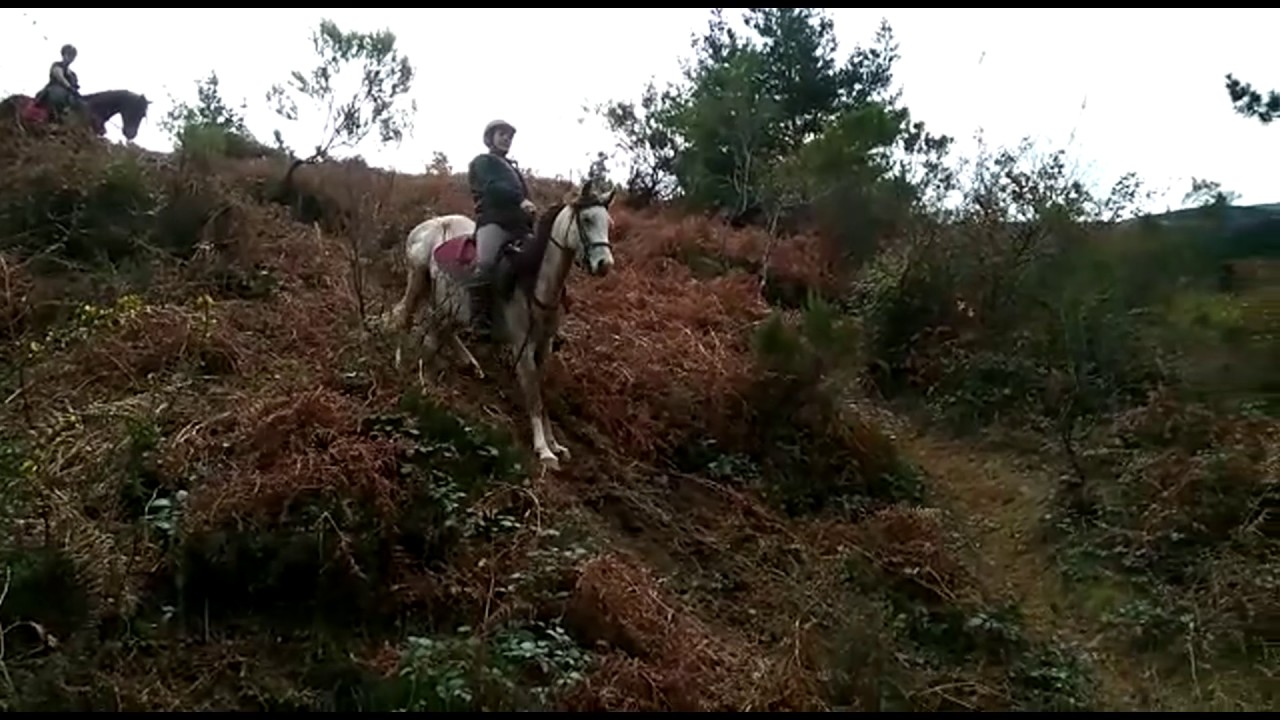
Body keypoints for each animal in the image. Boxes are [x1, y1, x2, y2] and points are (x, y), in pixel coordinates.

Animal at [387, 182, 618, 470]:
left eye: (608, 223)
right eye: (586, 220)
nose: (604, 265)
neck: (534, 282)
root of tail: (428, 225)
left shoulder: (544, 347)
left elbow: (543, 396)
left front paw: (555, 444)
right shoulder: (522, 346)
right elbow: (534, 397)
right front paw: (544, 450)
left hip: (446, 301)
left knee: (443, 329)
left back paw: (468, 364)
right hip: (418, 279)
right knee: (404, 317)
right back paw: (400, 363)